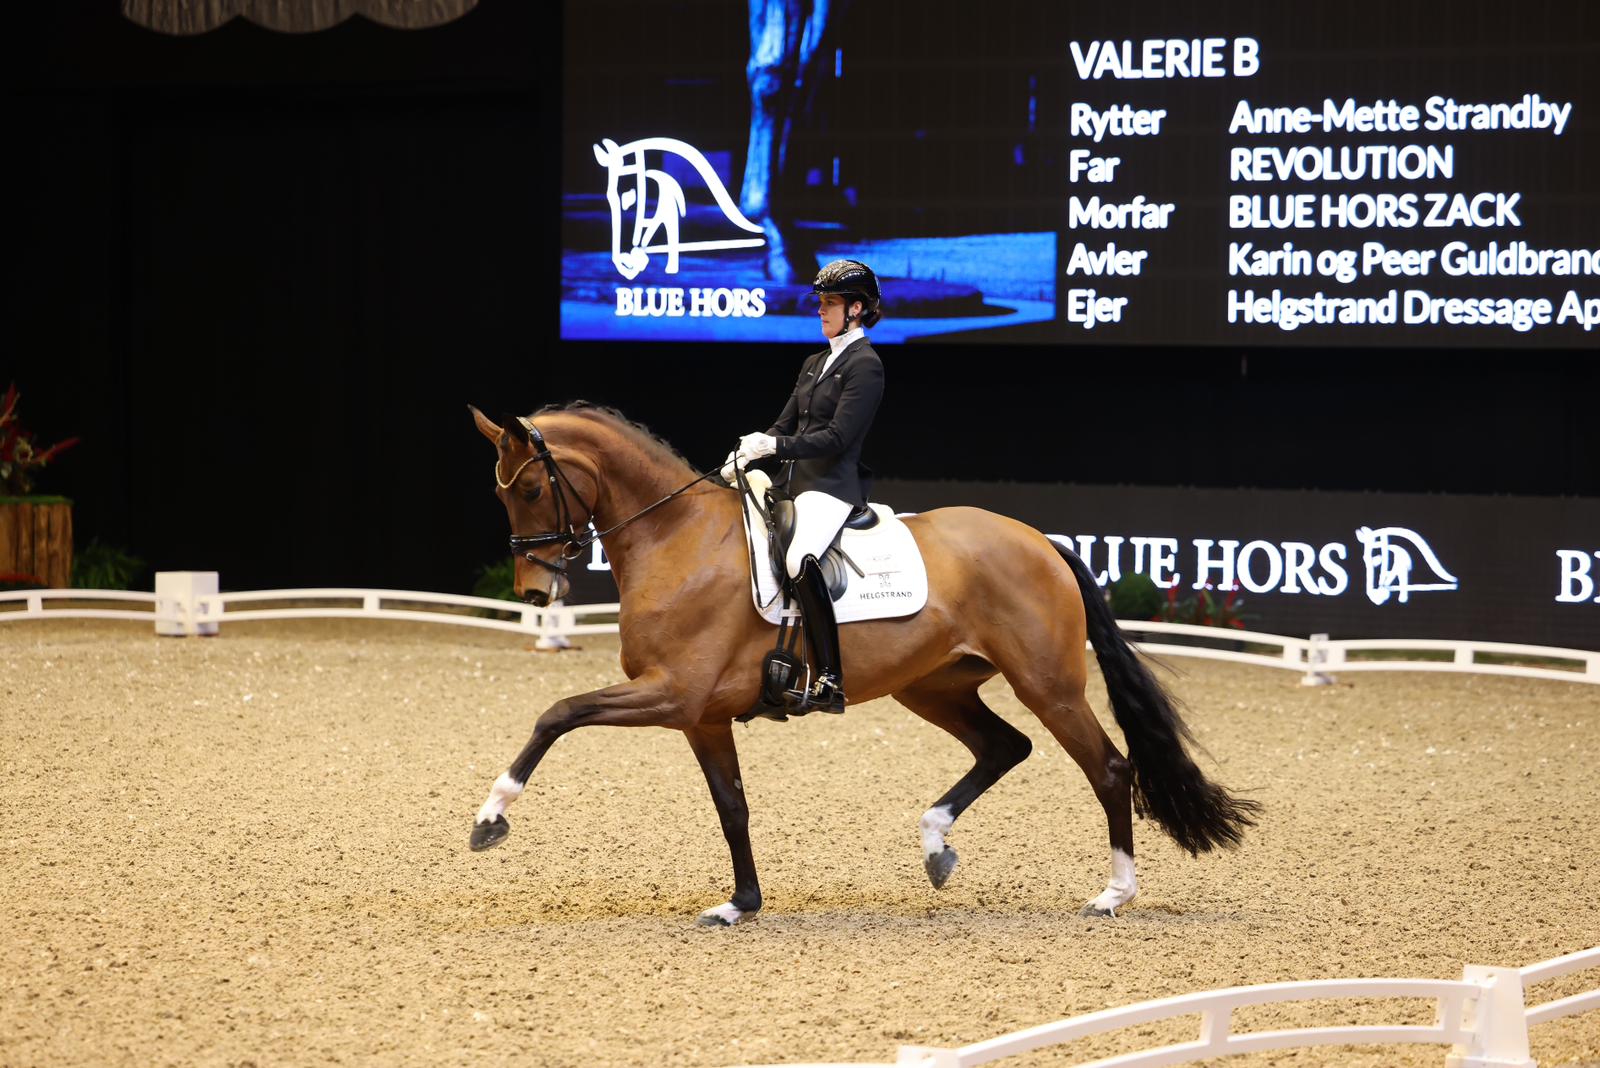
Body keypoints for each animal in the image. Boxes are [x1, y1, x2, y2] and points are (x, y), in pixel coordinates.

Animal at [467, 403, 1260, 926]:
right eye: (501, 492)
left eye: (530, 488)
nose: (535, 592)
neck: (676, 539)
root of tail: (1042, 541)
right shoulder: (701, 715)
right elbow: (732, 807)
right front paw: (741, 904)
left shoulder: (671, 695)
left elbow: (559, 714)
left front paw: (490, 818)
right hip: (933, 688)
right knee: (1006, 746)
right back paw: (936, 846)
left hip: (1047, 684)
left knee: (1110, 768)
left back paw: (1114, 893)